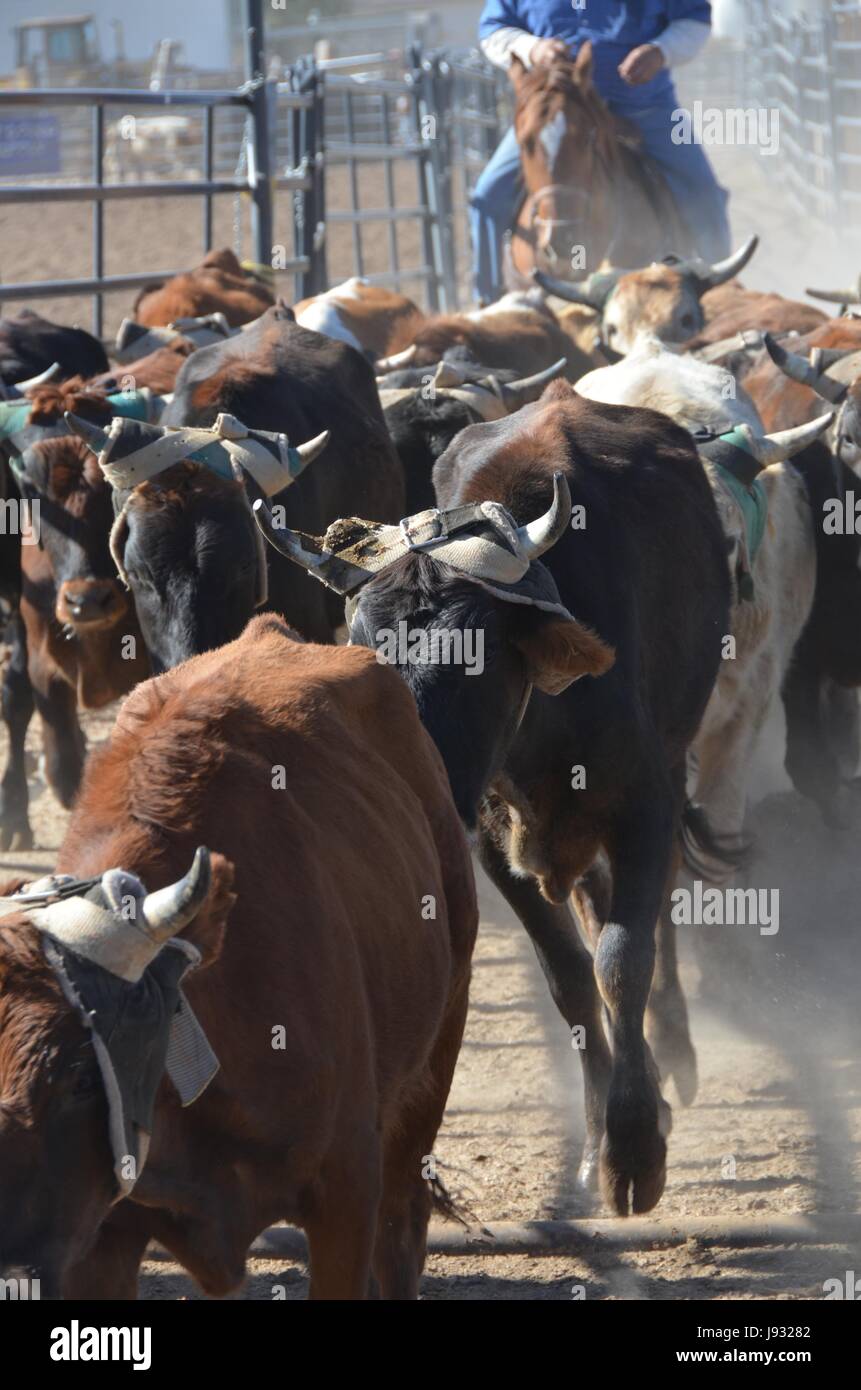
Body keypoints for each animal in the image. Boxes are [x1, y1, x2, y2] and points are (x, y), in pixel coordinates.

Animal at [0, 613, 478, 1300]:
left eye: (80, 1077)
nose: (10, 1272)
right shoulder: (102, 1238)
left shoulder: (348, 1188)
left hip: (434, 1059)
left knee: (403, 1229)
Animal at [253, 382, 735, 1216]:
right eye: (369, 652)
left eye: (472, 659)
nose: (416, 774)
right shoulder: (487, 836)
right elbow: (569, 976)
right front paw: (600, 1135)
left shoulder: (644, 802)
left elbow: (623, 958)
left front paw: (633, 1150)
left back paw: (672, 1049)